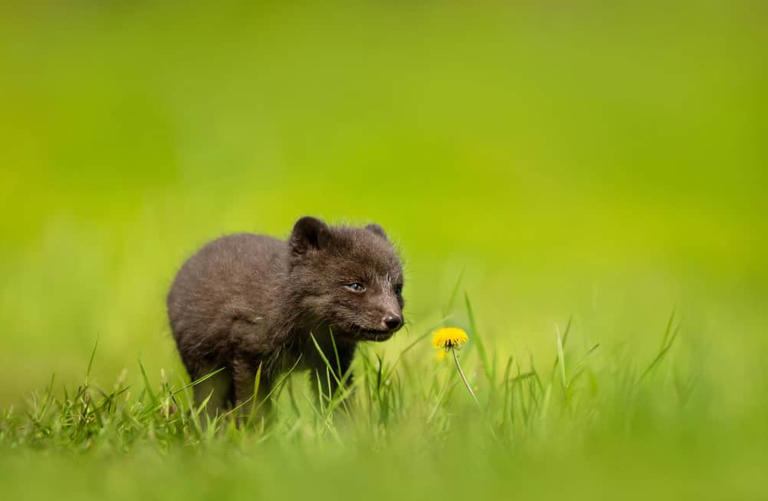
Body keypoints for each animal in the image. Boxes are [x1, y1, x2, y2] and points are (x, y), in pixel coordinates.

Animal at [166, 216, 404, 417]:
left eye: (397, 288)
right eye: (356, 285)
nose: (394, 320)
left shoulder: (334, 361)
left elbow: (337, 403)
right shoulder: (248, 356)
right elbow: (255, 407)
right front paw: (257, 435)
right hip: (204, 366)